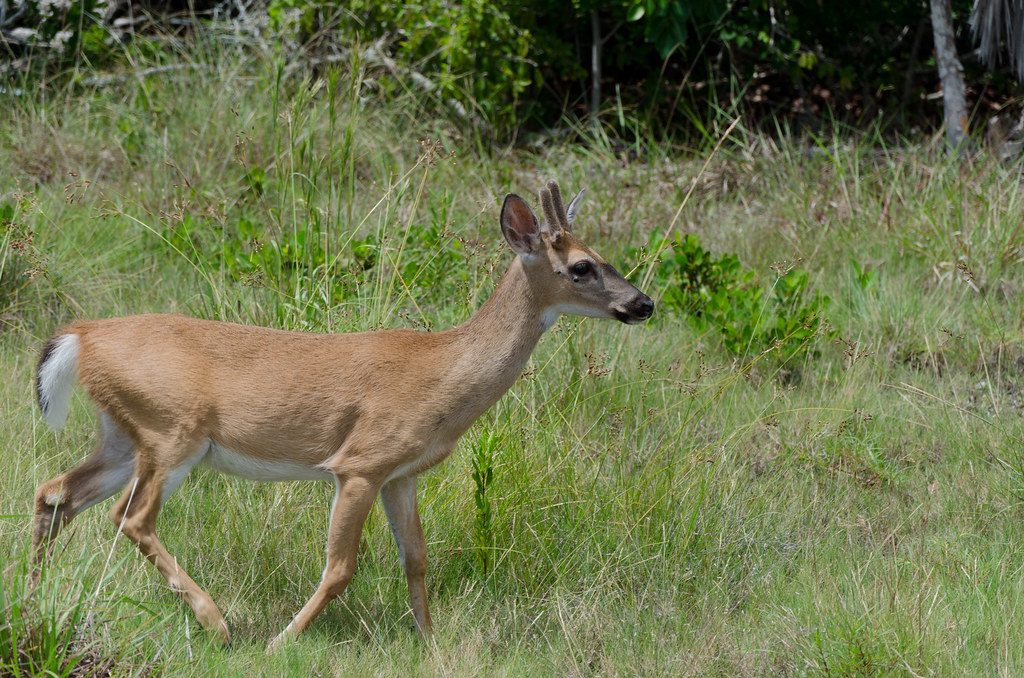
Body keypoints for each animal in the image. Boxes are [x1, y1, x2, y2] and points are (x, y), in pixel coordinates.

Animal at [30, 180, 654, 651]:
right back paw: (218, 622)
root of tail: (81, 335)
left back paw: (37, 593)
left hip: (123, 434)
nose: (643, 303)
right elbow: (340, 568)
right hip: (171, 432)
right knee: (130, 518)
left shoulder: (400, 473)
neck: (442, 372)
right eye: (581, 267)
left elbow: (417, 559)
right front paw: (281, 641)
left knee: (55, 492)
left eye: (603, 257)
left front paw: (431, 644)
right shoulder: (359, 462)